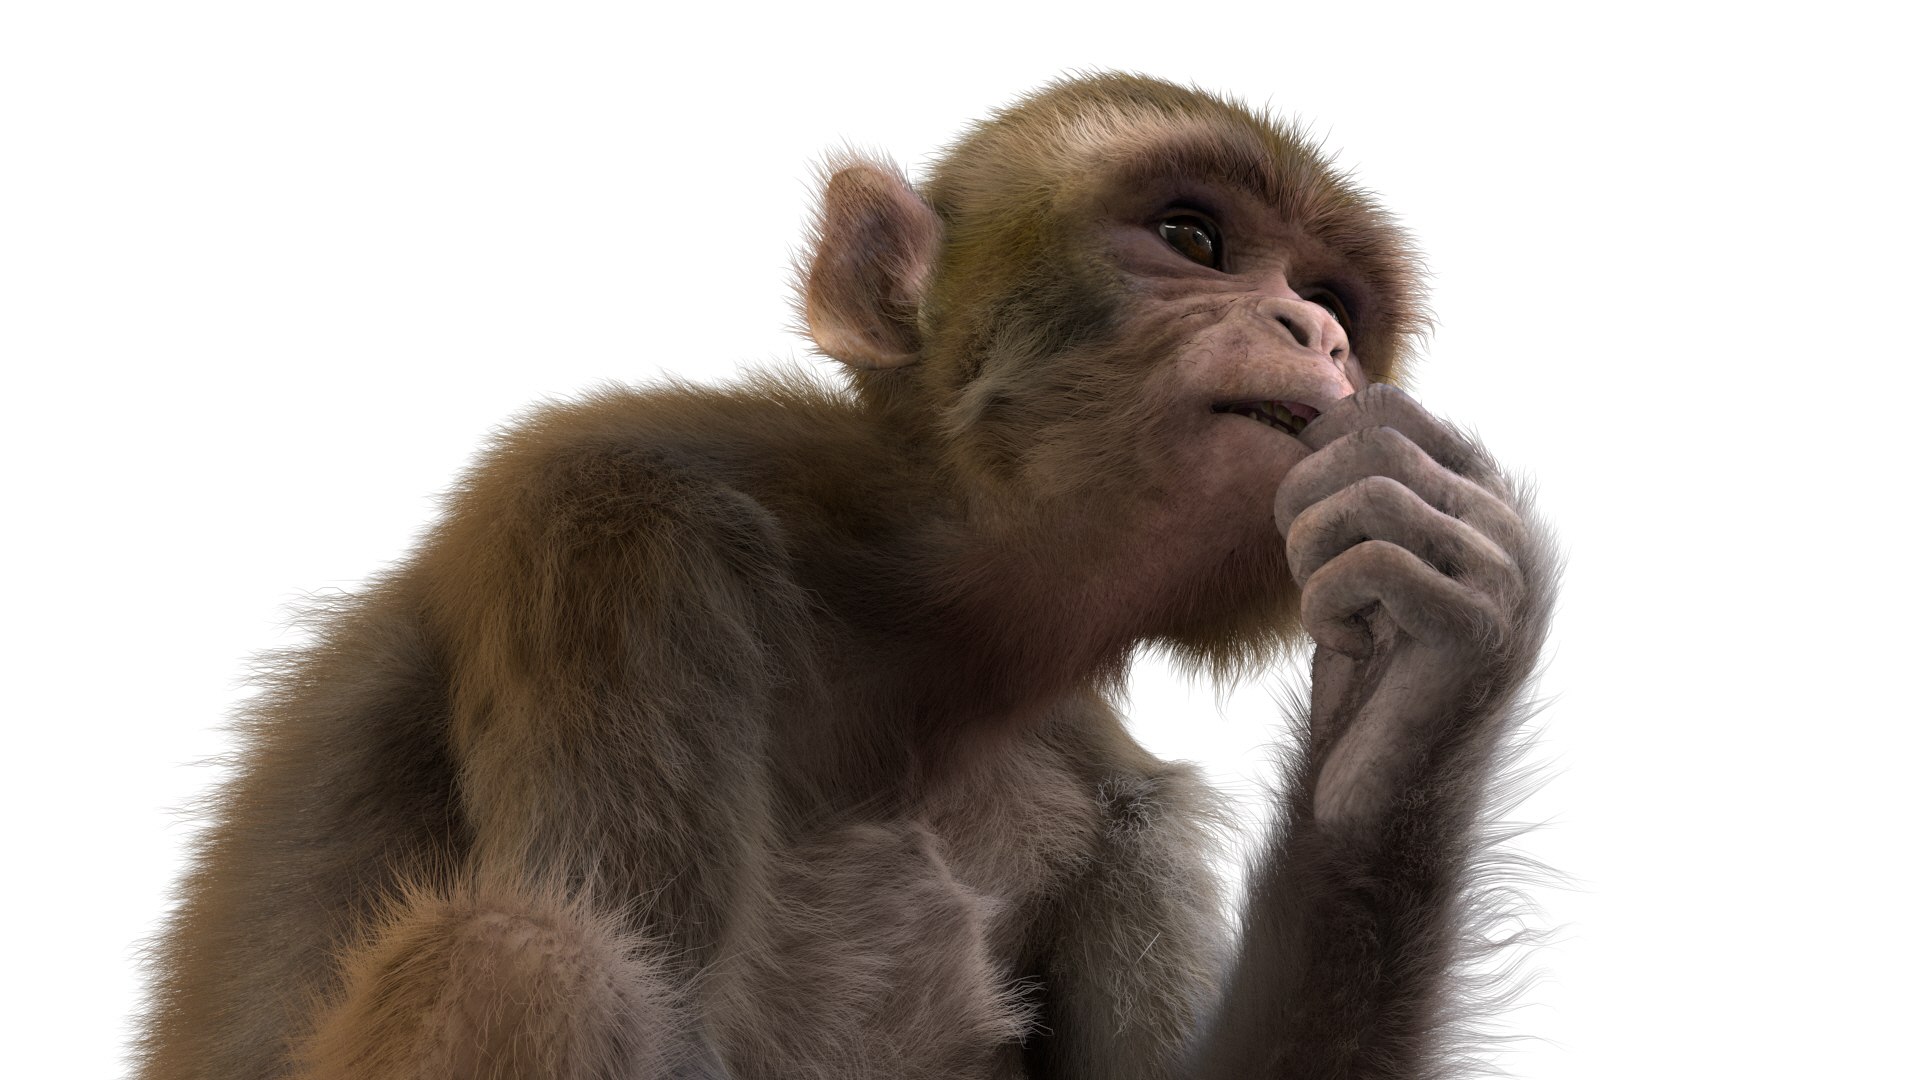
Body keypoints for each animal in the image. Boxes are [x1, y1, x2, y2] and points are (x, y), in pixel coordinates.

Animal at [136, 73, 1556, 1080]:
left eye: (1334, 299)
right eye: (1193, 235)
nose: (1314, 332)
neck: (924, 627)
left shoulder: (1117, 808)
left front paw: (1413, 694)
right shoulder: (612, 524)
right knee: (526, 956)